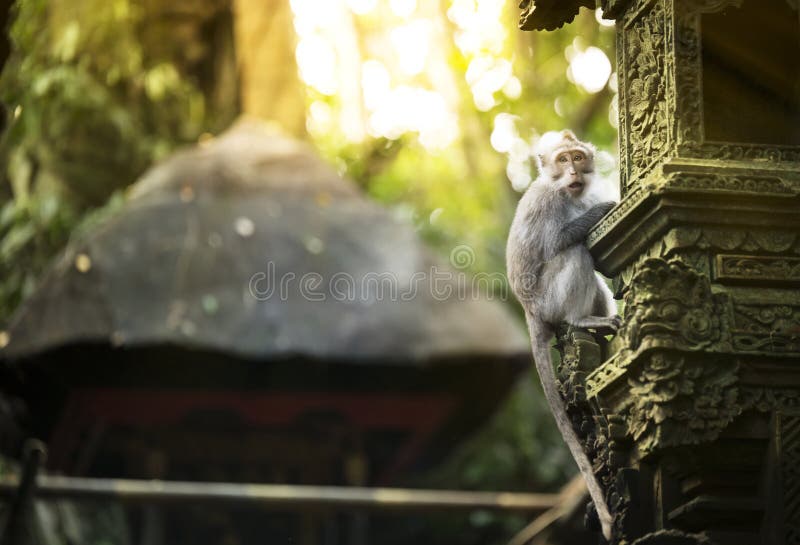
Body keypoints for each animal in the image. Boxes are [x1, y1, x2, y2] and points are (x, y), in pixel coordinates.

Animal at [506, 129, 620, 541]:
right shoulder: (547, 202)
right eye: (562, 159)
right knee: (576, 251)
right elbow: (556, 244)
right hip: (550, 298)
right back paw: (580, 319)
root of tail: (531, 311)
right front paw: (604, 208)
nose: (573, 169)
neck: (567, 193)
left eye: (577, 156)